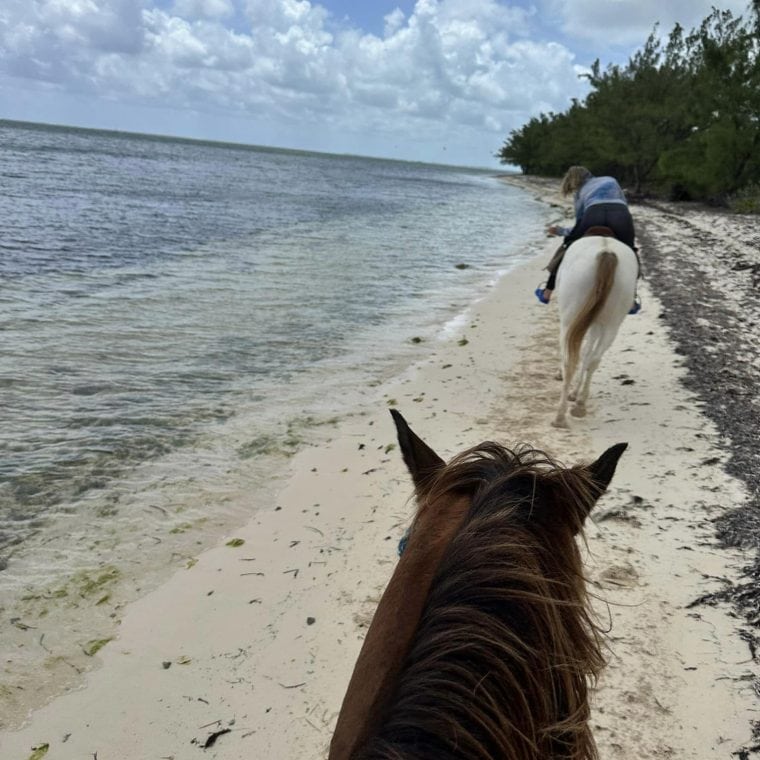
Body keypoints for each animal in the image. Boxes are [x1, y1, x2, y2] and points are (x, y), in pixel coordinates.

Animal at [553, 231, 638, 428]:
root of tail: (607, 252)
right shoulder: (596, 324)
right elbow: (587, 353)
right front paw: (576, 394)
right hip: (612, 324)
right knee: (594, 359)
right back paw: (580, 405)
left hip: (569, 318)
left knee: (569, 361)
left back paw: (560, 416)